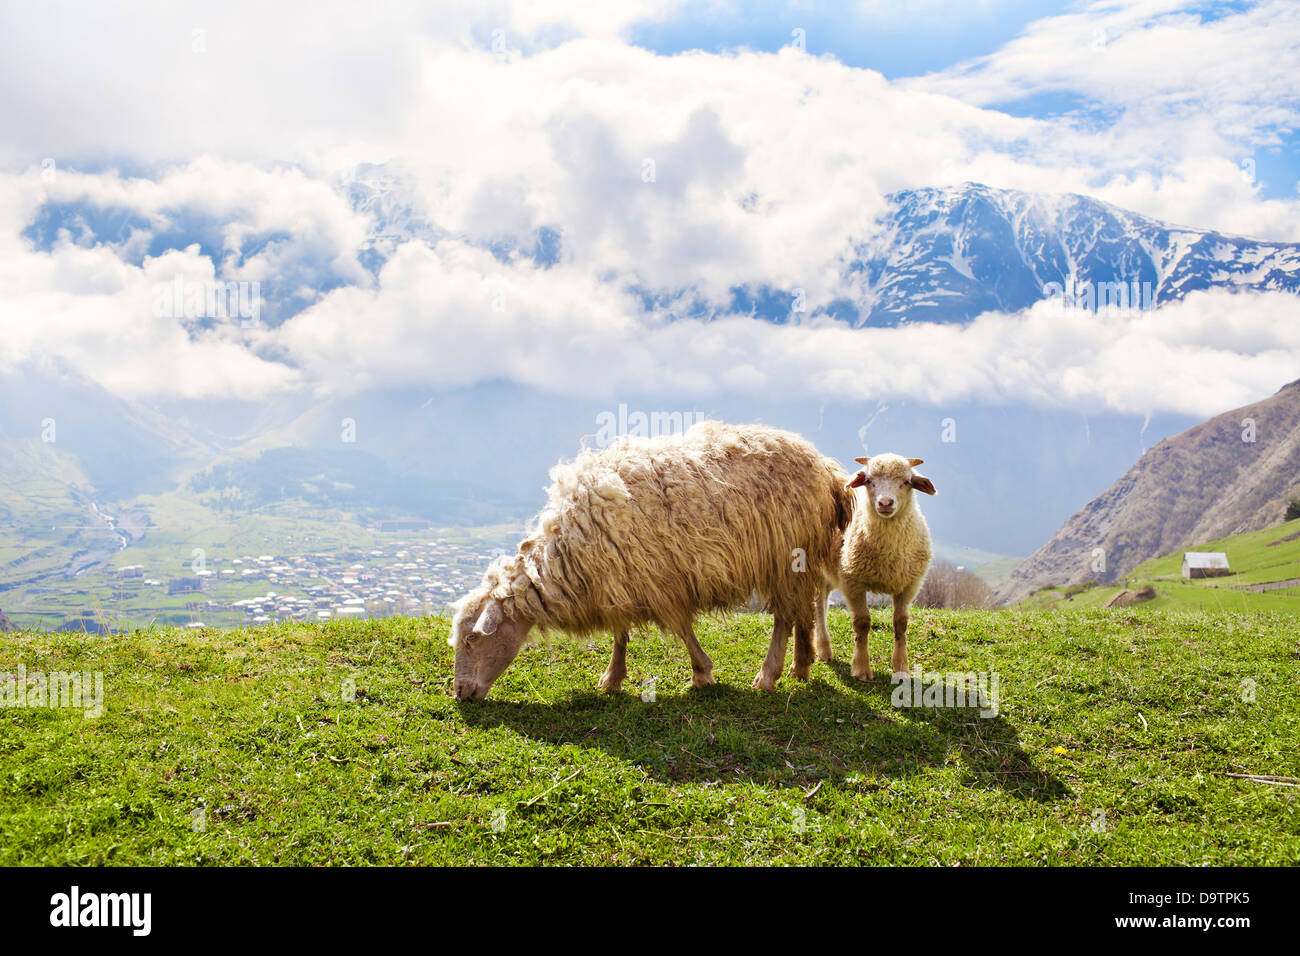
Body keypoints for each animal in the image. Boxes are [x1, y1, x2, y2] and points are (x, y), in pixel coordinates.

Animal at [448, 420, 853, 700]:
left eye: (471, 639)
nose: (461, 694)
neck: (567, 554)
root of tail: (825, 467)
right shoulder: (619, 579)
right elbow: (620, 634)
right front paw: (612, 678)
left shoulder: (661, 583)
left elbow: (682, 630)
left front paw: (702, 673)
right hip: (800, 561)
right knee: (803, 610)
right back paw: (801, 666)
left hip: (784, 556)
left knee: (784, 617)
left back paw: (769, 675)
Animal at [813, 453, 936, 680]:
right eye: (869, 480)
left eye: (906, 482)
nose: (885, 502)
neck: (888, 556)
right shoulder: (853, 582)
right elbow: (862, 623)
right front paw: (862, 668)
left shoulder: (910, 585)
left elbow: (901, 623)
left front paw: (901, 668)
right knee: (818, 606)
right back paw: (824, 648)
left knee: (823, 600)